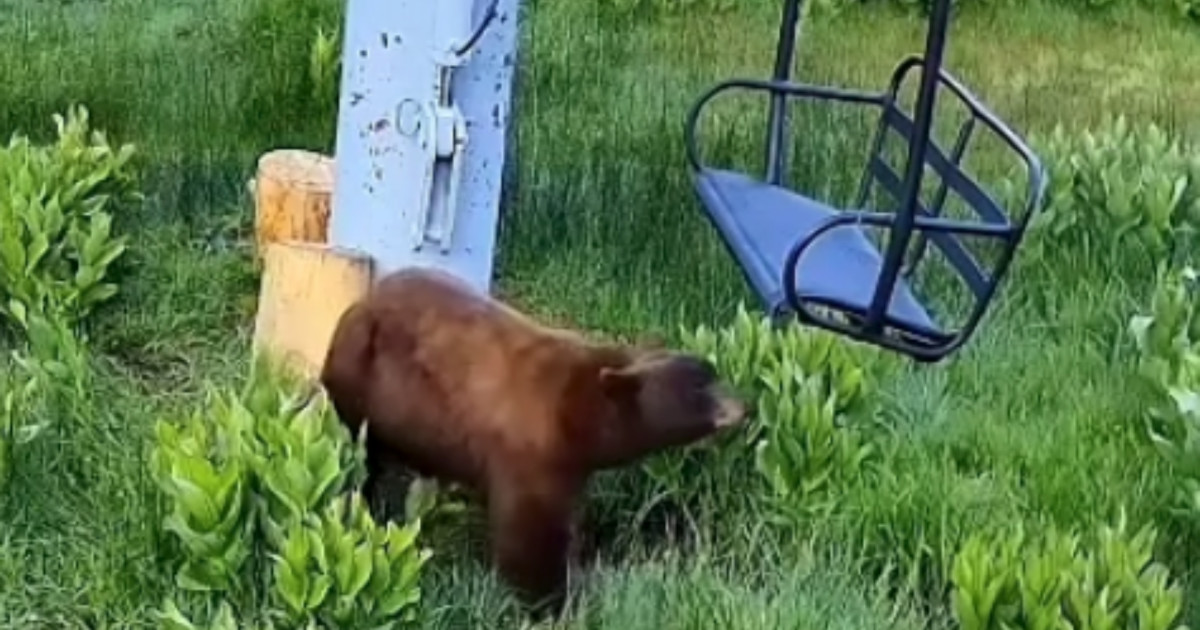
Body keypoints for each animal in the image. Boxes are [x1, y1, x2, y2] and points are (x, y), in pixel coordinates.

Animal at [318, 266, 749, 617]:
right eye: (699, 388)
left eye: (713, 373)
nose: (744, 407)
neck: (578, 412)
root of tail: (360, 303)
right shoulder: (531, 451)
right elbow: (530, 533)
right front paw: (553, 602)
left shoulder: (571, 466)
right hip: (359, 384)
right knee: (364, 455)